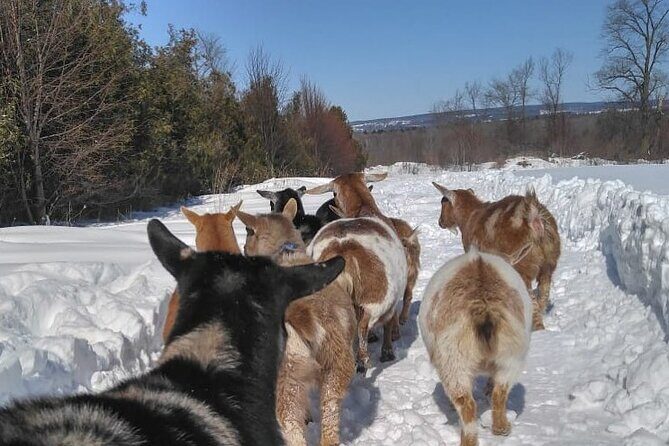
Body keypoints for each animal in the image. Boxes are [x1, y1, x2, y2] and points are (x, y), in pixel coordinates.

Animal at [237, 199, 356, 446]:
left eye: (249, 232)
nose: (244, 249)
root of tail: (303, 315)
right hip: (335, 364)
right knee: (329, 412)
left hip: (286, 380)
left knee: (291, 427)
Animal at [306, 172, 407, 372]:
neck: (363, 208)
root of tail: (343, 251)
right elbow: (388, 324)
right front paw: (387, 351)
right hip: (377, 296)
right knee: (362, 326)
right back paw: (363, 360)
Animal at [419, 248, 532, 446]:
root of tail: (483, 304)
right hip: (511, 355)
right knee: (499, 392)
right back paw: (501, 428)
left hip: (453, 358)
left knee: (467, 403)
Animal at [433, 183, 560, 330]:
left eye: (444, 203)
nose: (440, 222)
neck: (468, 217)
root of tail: (535, 218)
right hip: (549, 263)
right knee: (543, 293)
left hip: (522, 264)